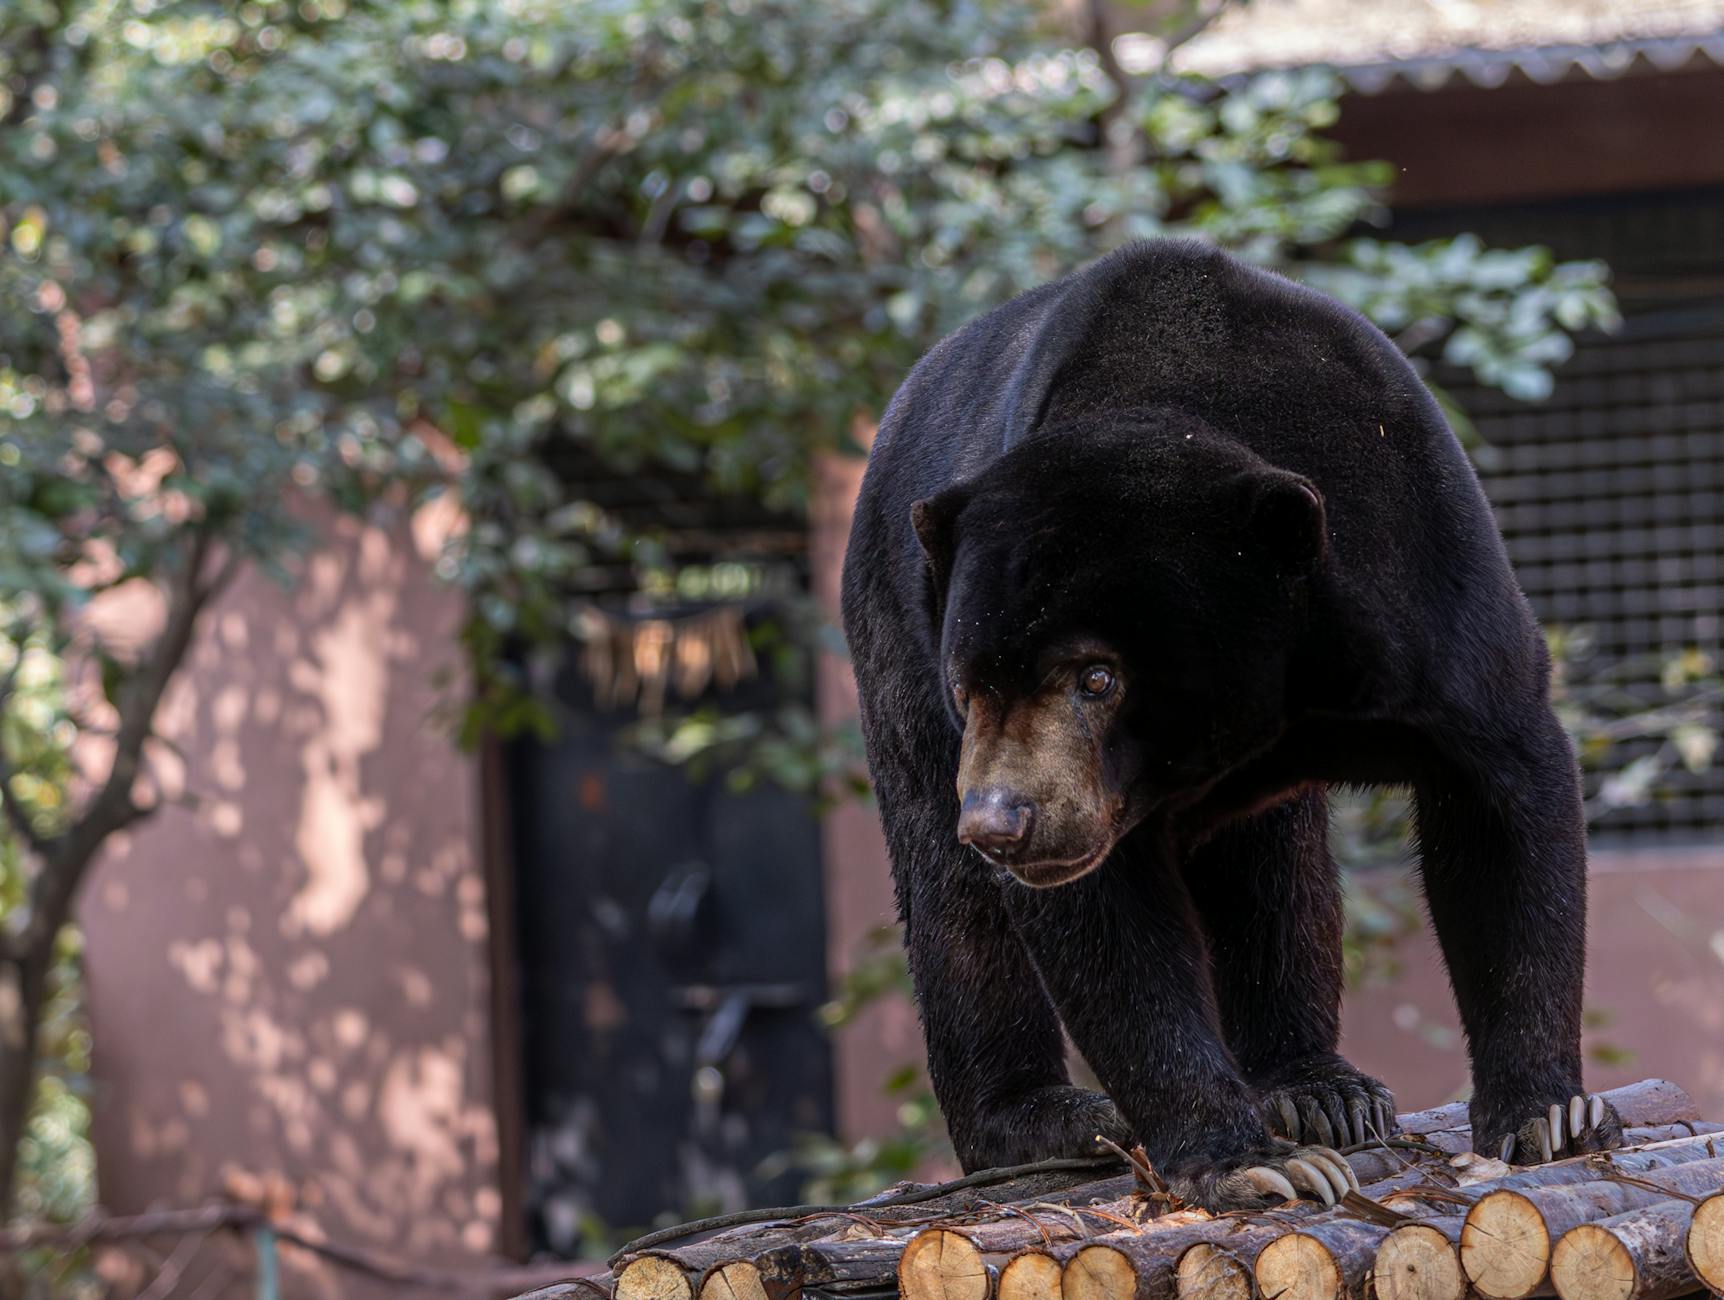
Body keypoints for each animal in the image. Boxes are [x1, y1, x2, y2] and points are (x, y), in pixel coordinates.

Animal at [838, 239, 1623, 1210]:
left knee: (1278, 867)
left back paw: (1321, 1089)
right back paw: (1055, 1114)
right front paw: (1255, 1162)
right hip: (890, 642)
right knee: (948, 901)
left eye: (1097, 675)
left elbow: (1501, 799)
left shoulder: (1427, 580)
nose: (1002, 819)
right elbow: (1104, 924)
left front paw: (1548, 1114)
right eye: (971, 681)